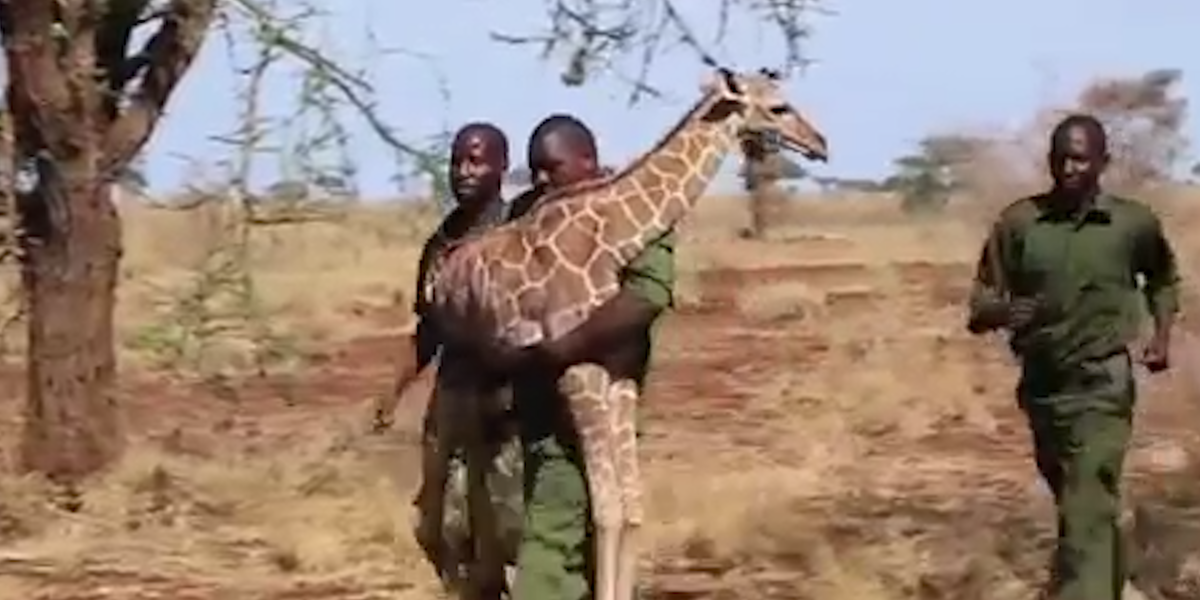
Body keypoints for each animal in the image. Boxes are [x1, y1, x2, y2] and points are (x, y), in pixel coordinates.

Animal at [425, 66, 829, 600]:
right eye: (778, 107)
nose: (820, 144)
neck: (615, 237)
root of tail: (443, 276)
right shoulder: (578, 371)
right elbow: (607, 510)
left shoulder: (621, 374)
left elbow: (631, 506)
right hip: (461, 361)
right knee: (449, 461)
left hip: (487, 374)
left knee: (476, 457)